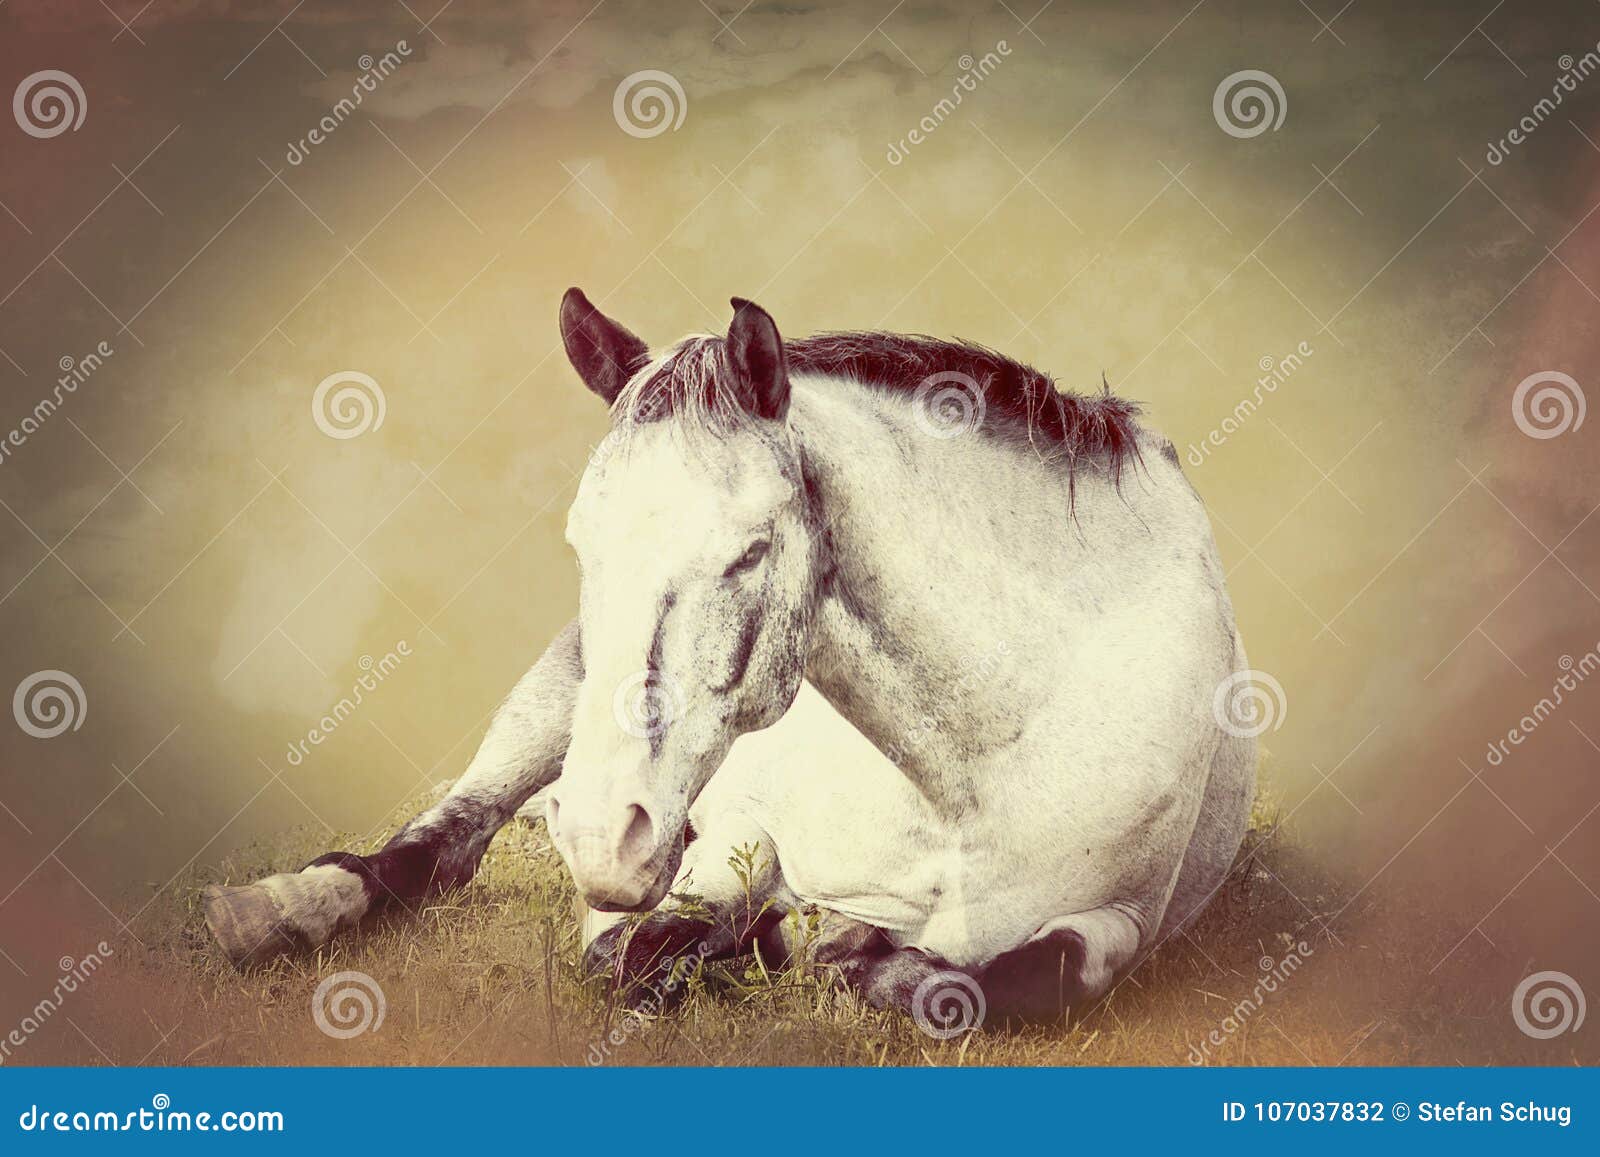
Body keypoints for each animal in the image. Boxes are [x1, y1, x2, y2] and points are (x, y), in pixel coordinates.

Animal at [204, 289, 1255, 1025]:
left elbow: (1011, 982)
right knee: (446, 839)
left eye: (751, 550)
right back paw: (279, 907)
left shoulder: (1126, 922)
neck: (971, 769)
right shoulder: (735, 840)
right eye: (581, 543)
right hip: (551, 710)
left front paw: (846, 950)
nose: (602, 838)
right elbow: (642, 947)